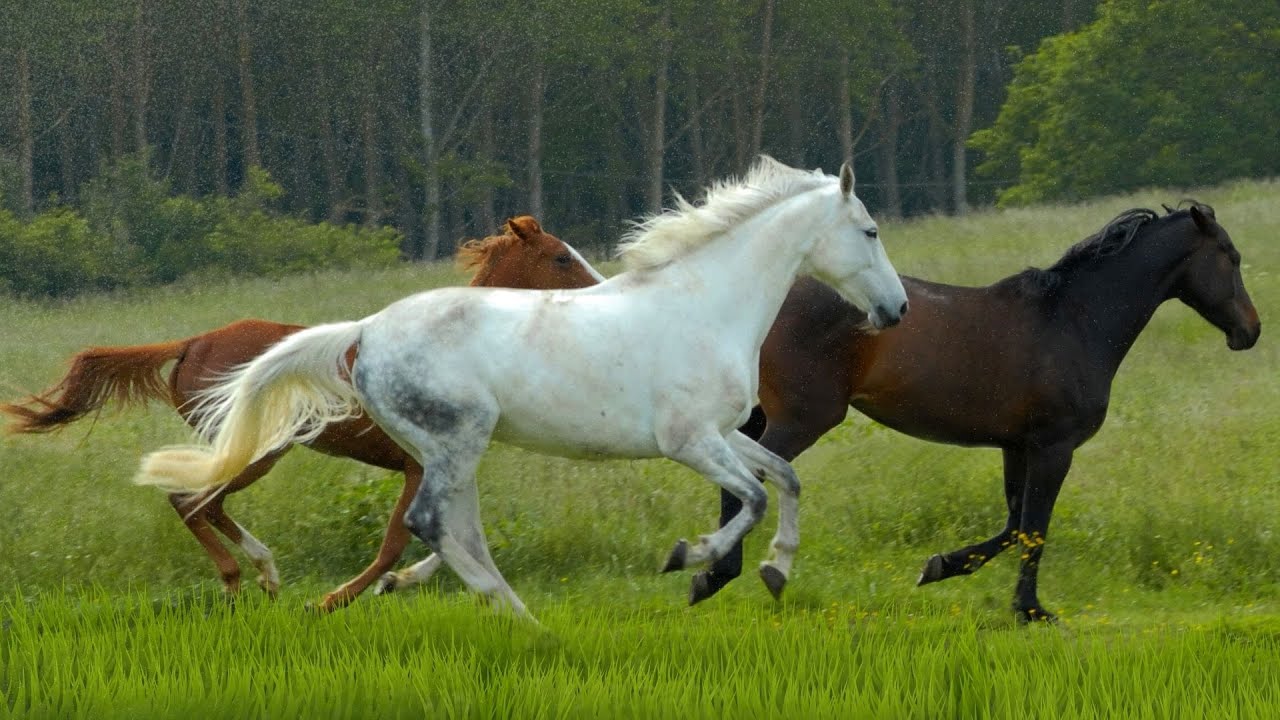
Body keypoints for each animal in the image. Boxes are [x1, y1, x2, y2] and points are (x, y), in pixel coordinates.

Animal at [1, 216, 604, 611]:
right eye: (561, 256)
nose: (602, 292)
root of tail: (192, 342)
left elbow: (446, 542)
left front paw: (400, 583)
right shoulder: (418, 465)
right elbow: (397, 541)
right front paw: (334, 600)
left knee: (204, 504)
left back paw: (265, 575)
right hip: (260, 449)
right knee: (192, 502)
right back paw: (241, 578)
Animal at [131, 156, 910, 619]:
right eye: (871, 231)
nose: (896, 309)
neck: (705, 305)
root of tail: (365, 330)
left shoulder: (722, 436)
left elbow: (785, 479)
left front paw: (776, 570)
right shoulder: (689, 442)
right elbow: (751, 499)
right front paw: (687, 559)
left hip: (453, 452)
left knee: (453, 530)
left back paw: (506, 611)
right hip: (454, 443)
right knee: (430, 525)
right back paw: (509, 614)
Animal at [687, 203, 1260, 622]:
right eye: (1230, 256)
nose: (1250, 331)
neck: (1073, 321)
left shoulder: (1017, 446)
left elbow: (1014, 525)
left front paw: (939, 566)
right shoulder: (1054, 447)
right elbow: (1035, 528)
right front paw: (1030, 610)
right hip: (803, 418)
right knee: (754, 479)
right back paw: (717, 575)